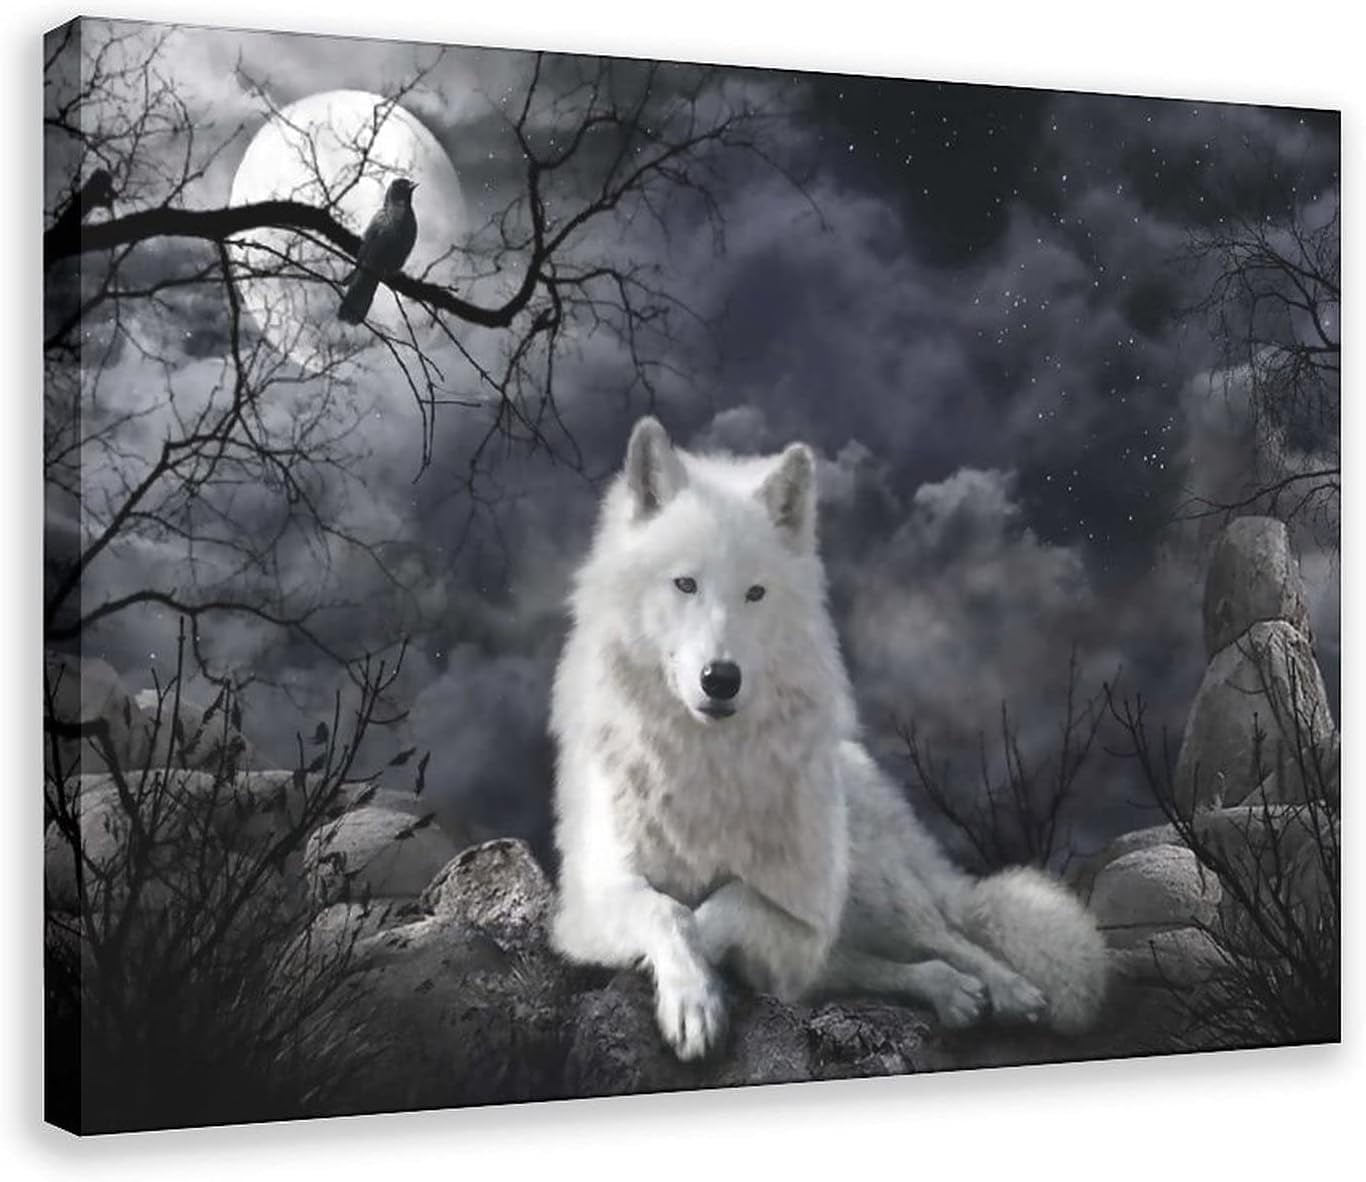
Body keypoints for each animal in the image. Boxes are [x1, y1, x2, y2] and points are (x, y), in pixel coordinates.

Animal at [550, 417, 1108, 1060]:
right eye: (685, 584)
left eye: (756, 593)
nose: (721, 679)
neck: (707, 763)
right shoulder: (589, 902)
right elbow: (666, 909)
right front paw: (693, 1001)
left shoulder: (804, 911)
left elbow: (729, 905)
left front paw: (706, 977)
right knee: (884, 964)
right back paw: (953, 994)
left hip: (878, 888)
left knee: (950, 935)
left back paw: (1011, 991)